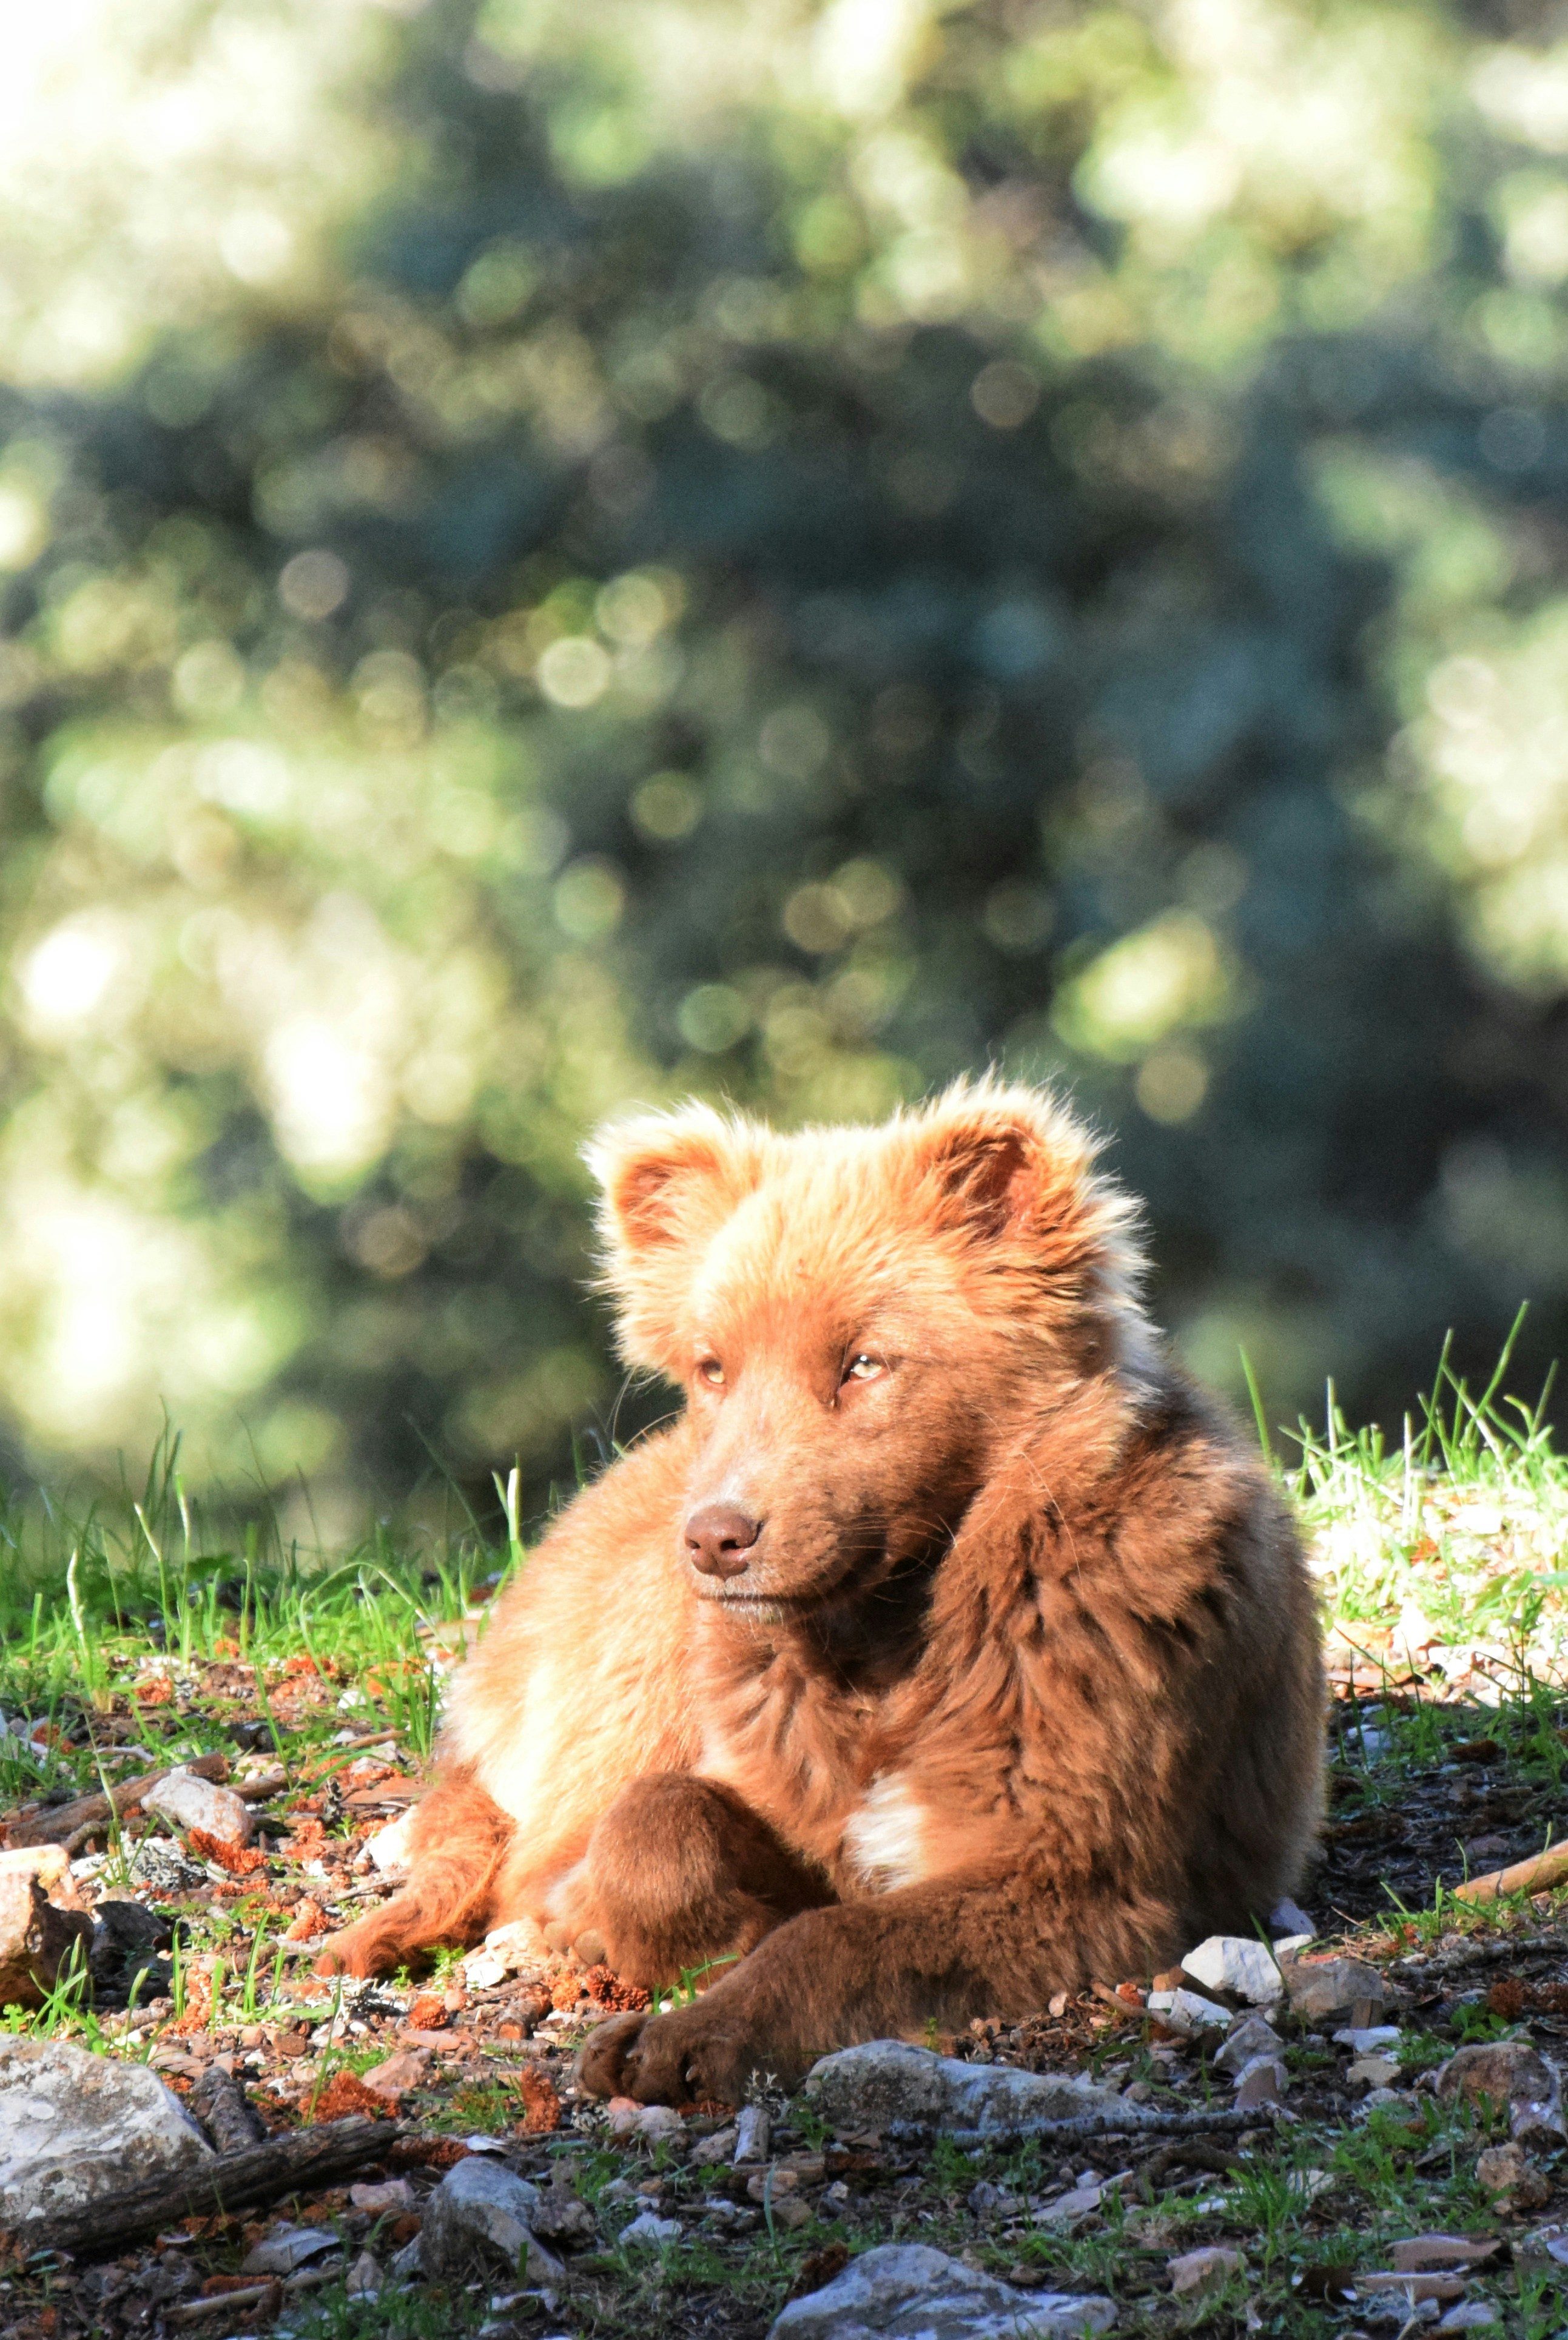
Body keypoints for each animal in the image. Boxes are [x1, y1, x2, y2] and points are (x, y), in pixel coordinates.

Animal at [319, 1078, 1324, 2108]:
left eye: (865, 1362)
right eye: (713, 1367)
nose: (715, 1539)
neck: (892, 1647)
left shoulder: (1080, 1875)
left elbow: (839, 1937)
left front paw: (685, 2036)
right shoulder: (782, 1789)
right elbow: (653, 1823)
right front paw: (689, 1946)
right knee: (534, 1853)